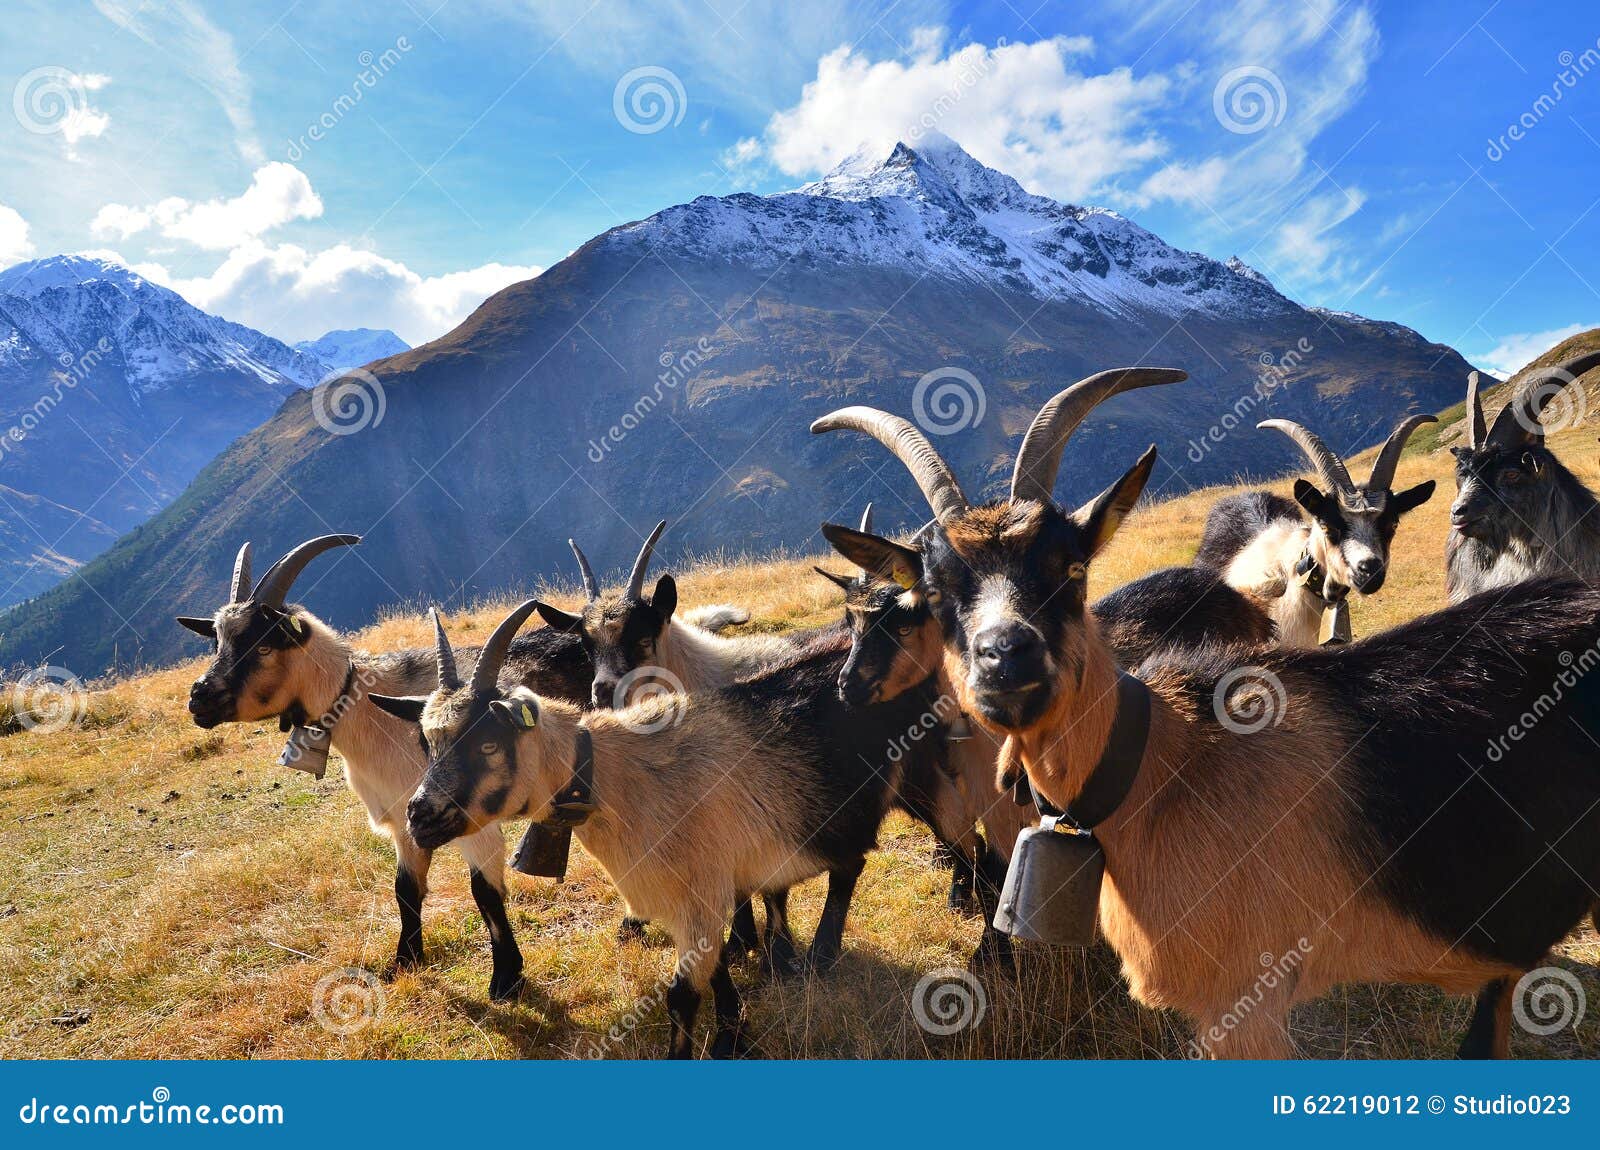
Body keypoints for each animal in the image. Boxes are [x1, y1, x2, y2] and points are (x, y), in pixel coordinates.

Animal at [373, 600, 953, 1057]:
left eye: (490, 744)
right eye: (426, 742)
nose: (419, 816)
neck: (619, 776)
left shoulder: (700, 891)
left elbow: (681, 998)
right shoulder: (692, 897)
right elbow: (717, 971)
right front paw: (734, 1033)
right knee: (851, 862)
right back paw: (819, 955)